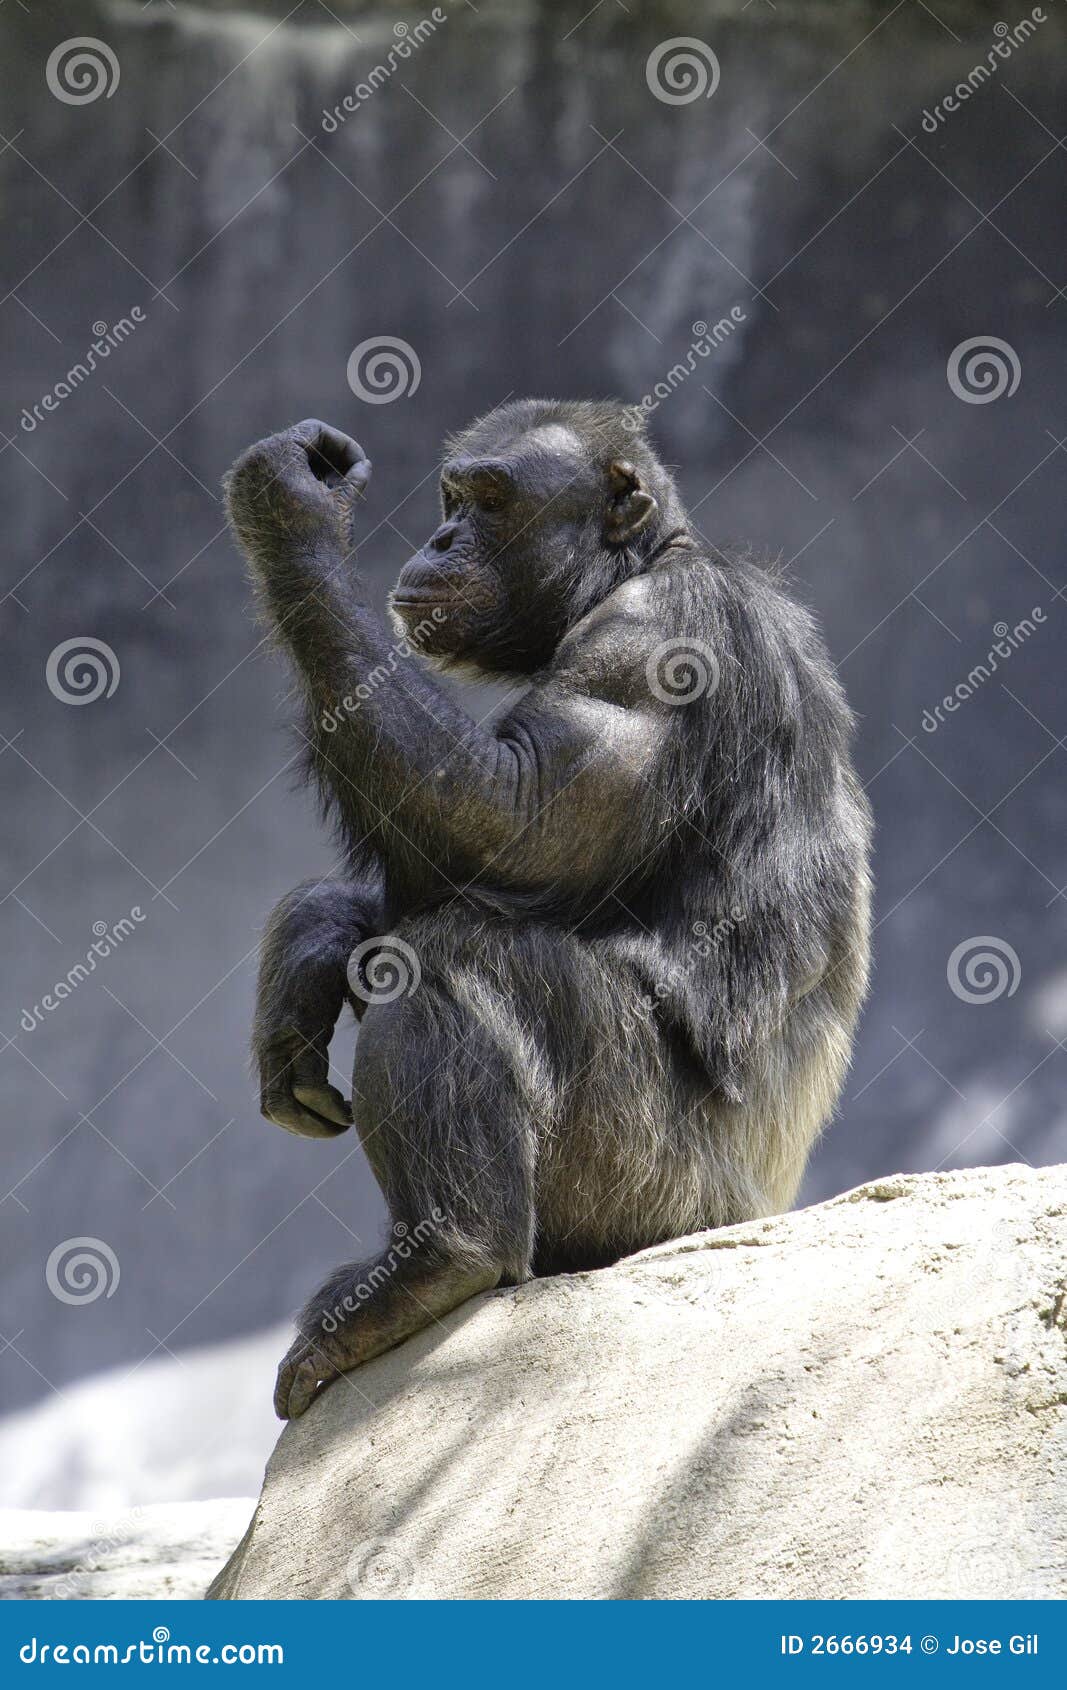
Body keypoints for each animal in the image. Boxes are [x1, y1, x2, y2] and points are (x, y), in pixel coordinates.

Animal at [224, 400, 871, 1419]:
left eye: (489, 502)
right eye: (453, 500)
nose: (442, 537)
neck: (634, 570)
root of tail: (759, 1211)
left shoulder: (652, 645)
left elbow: (514, 818)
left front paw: (291, 512)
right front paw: (309, 941)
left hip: (647, 1187)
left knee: (452, 955)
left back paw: (440, 1258)